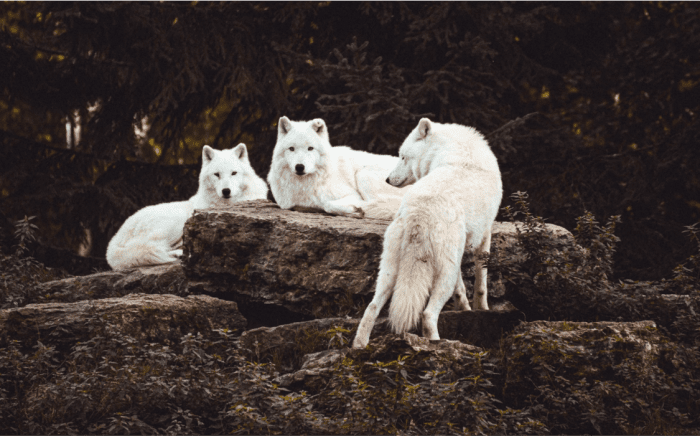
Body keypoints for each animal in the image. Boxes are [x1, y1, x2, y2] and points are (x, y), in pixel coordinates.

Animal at [106, 144, 268, 270]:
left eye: (234, 173)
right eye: (217, 174)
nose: (226, 191)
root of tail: (112, 244)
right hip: (177, 221)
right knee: (154, 247)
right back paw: (178, 255)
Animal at [267, 116, 407, 219]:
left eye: (310, 148)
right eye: (291, 148)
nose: (300, 167)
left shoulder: (351, 194)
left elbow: (327, 204)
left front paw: (356, 209)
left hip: (363, 174)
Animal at [352, 118, 503, 348]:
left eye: (402, 157)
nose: (387, 179)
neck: (452, 151)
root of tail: (420, 212)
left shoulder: (459, 252)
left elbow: (461, 288)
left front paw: (465, 308)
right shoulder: (485, 234)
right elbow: (481, 282)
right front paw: (481, 308)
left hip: (389, 271)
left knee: (372, 307)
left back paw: (358, 347)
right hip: (443, 276)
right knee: (427, 314)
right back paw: (437, 344)